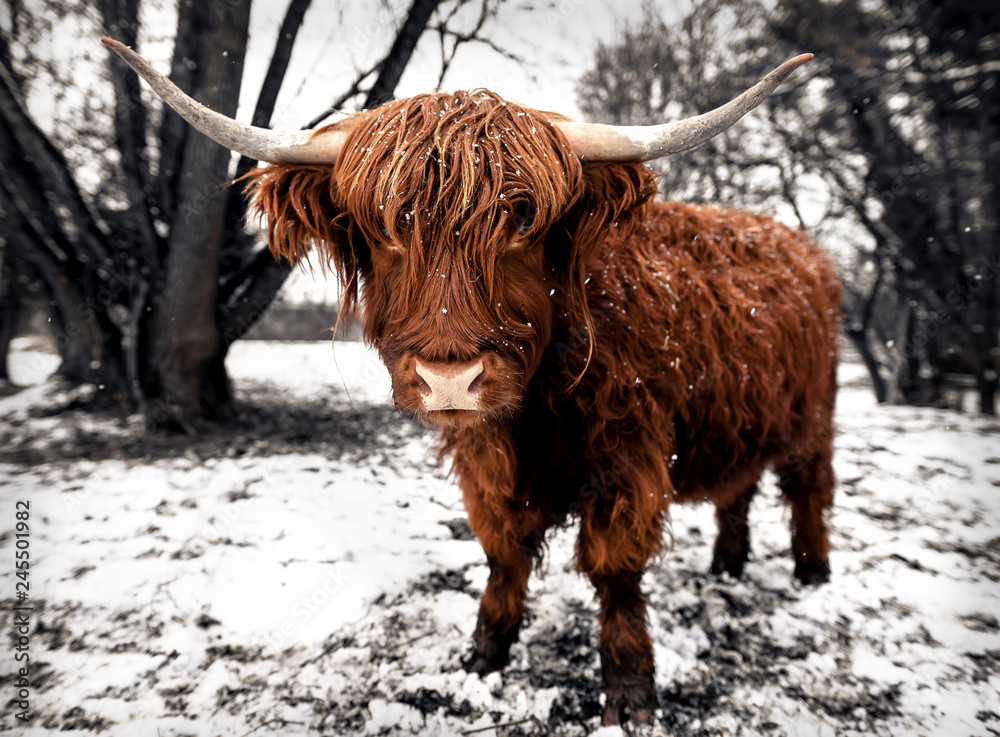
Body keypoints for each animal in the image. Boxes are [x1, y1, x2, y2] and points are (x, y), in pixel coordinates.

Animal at [103, 38, 841, 726]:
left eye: (521, 220)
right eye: (384, 227)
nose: (449, 377)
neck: (536, 412)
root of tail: (803, 248)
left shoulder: (626, 456)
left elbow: (616, 569)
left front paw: (630, 694)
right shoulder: (484, 461)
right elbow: (502, 552)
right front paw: (485, 655)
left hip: (815, 413)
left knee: (807, 485)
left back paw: (811, 571)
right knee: (739, 485)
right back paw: (728, 562)